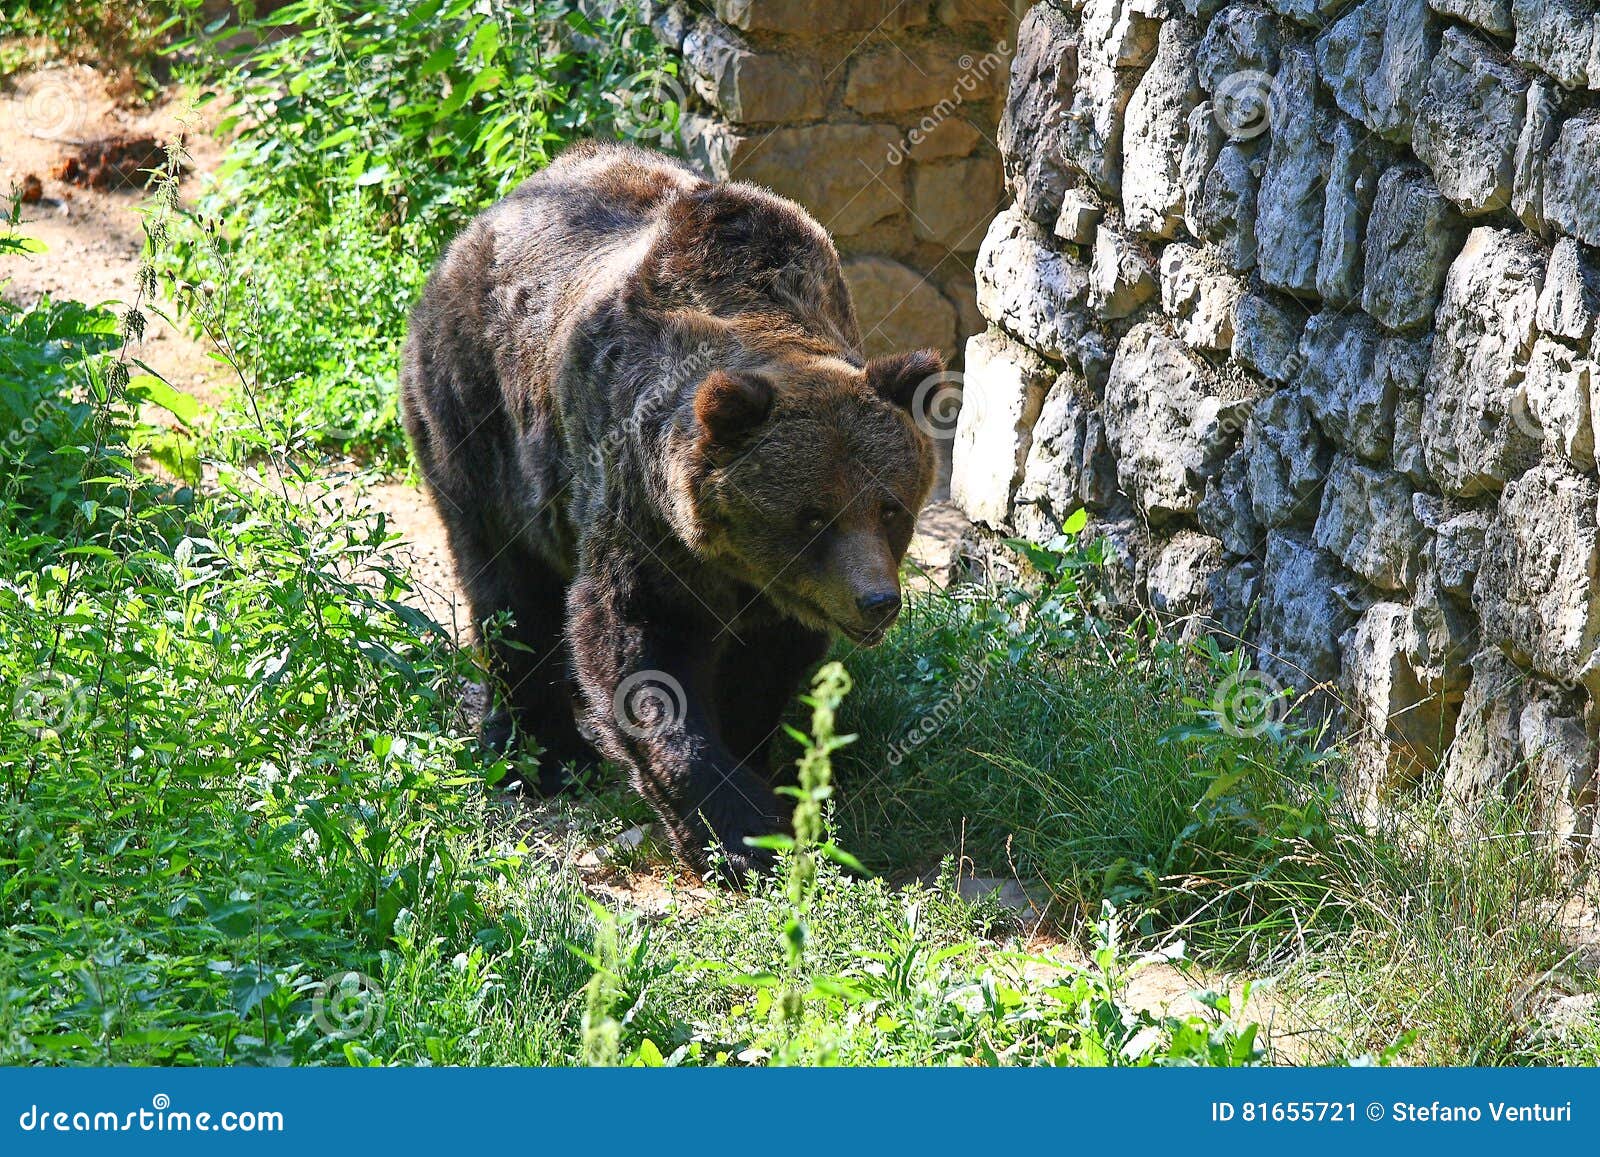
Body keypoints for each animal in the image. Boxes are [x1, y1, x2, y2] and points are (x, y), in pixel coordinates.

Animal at [400, 142, 940, 881]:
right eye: (813, 515)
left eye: (889, 507)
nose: (876, 600)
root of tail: (484, 219)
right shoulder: (640, 503)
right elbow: (635, 644)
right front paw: (739, 832)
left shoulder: (782, 595)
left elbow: (762, 670)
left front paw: (756, 781)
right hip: (476, 418)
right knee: (507, 588)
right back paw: (538, 754)